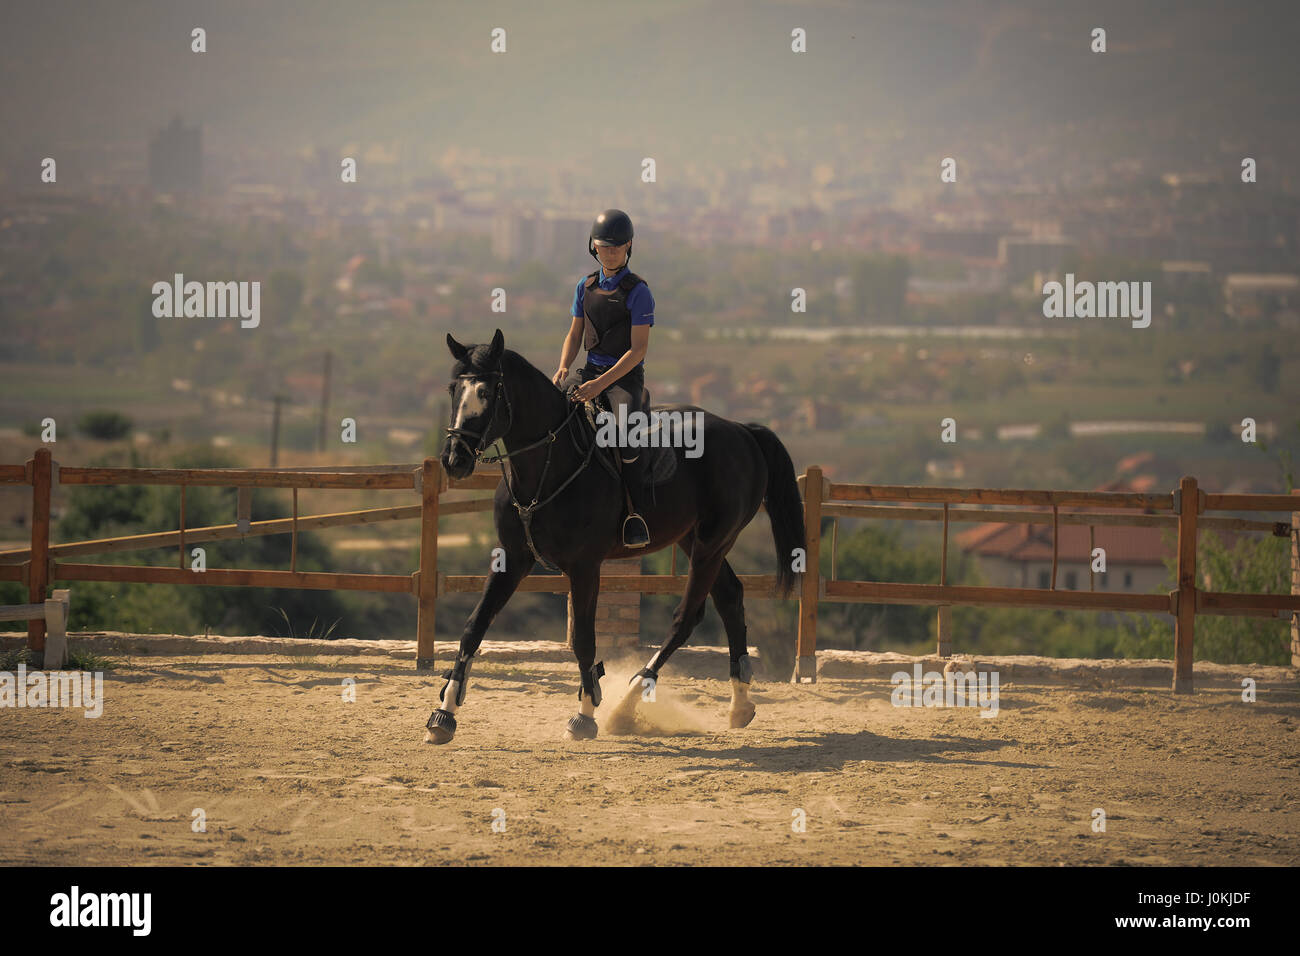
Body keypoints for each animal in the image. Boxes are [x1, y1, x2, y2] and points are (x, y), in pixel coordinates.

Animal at [426, 329, 806, 744]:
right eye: (452, 389)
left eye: (489, 391)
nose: (454, 459)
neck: (547, 468)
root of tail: (742, 432)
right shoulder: (511, 558)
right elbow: (473, 627)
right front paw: (444, 713)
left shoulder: (584, 567)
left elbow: (584, 640)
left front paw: (585, 714)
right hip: (694, 540)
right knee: (730, 598)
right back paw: (739, 705)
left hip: (713, 543)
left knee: (687, 615)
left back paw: (627, 703)